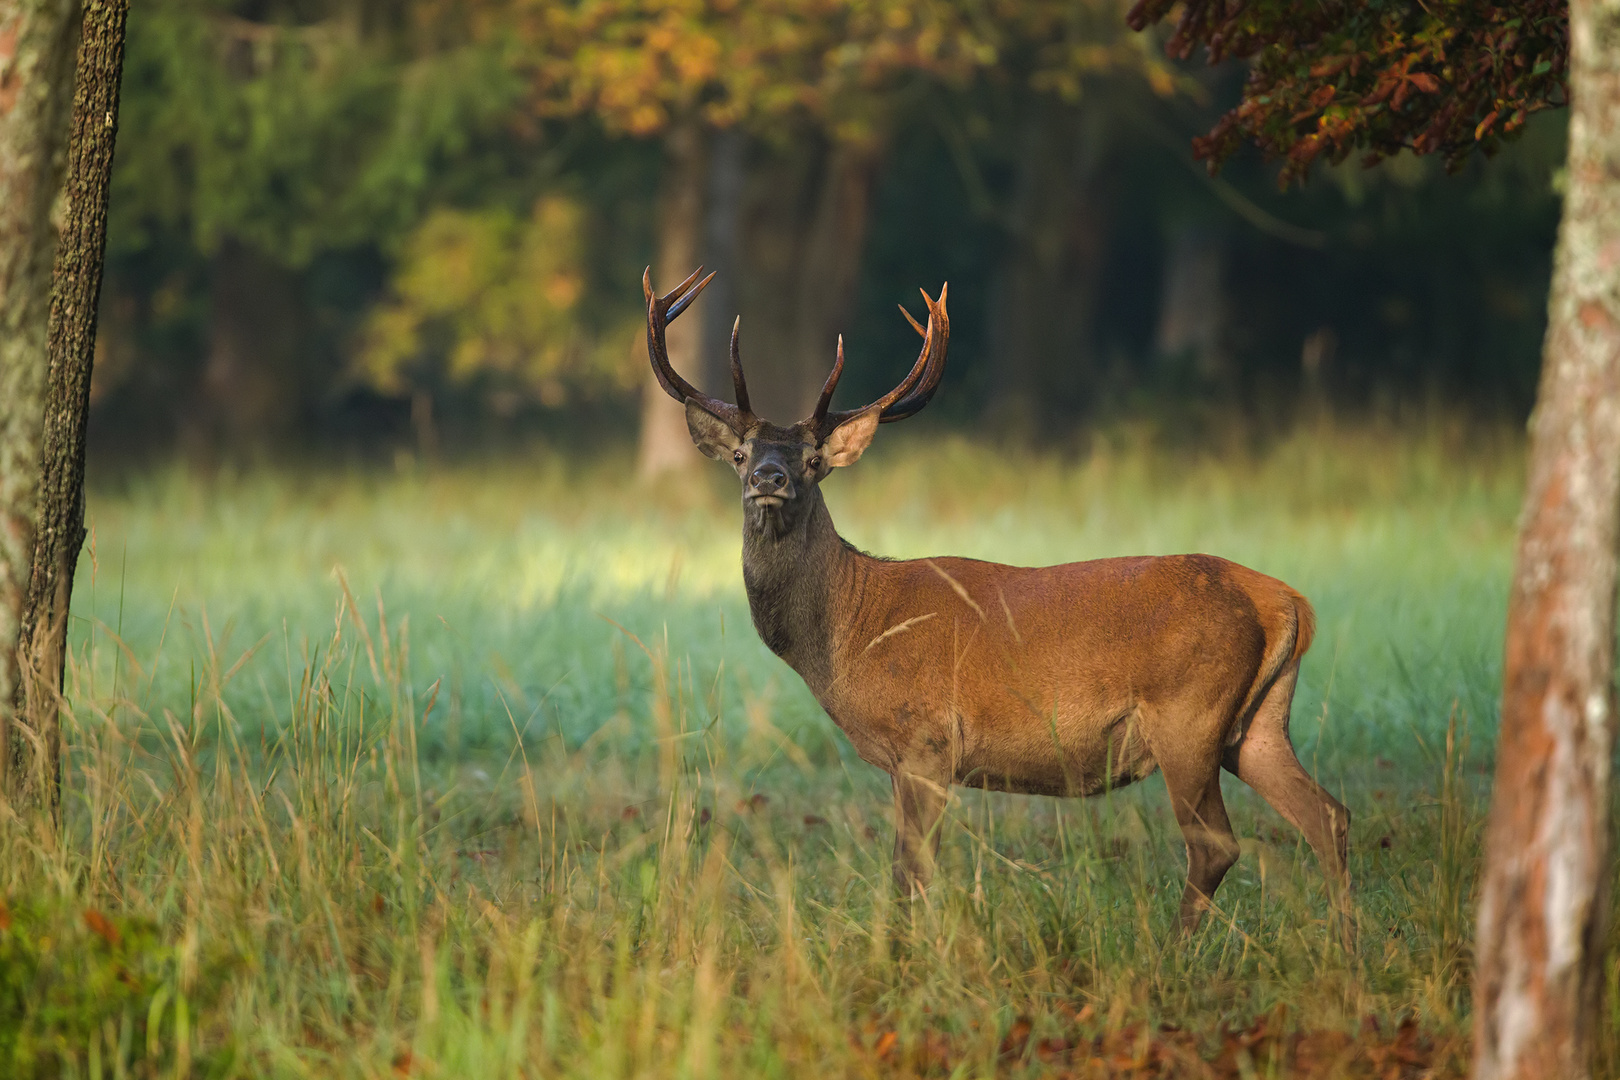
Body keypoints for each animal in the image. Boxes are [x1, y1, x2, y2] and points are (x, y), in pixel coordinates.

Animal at [644, 267, 1351, 934]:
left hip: (1189, 715)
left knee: (1216, 845)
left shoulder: (927, 741)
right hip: (1256, 724)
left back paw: (1176, 953)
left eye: (814, 460)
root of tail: (1286, 601)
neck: (853, 631)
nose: (770, 477)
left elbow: (910, 872)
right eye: (740, 454)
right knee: (1329, 815)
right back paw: (1345, 949)